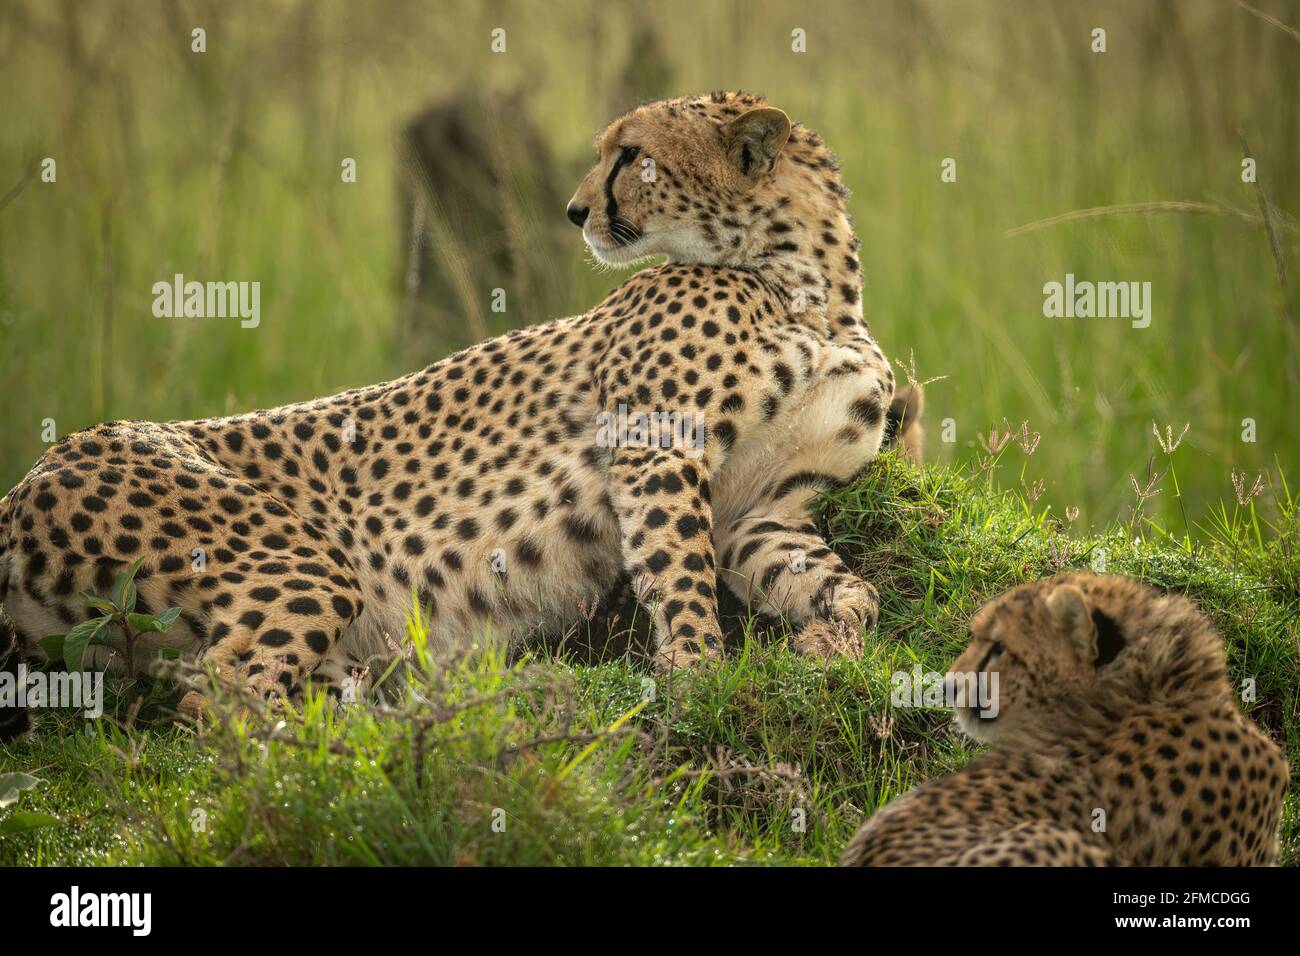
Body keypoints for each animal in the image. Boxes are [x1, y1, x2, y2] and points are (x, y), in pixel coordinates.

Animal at [0, 91, 918, 734]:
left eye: (633, 155)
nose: (575, 211)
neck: (811, 286)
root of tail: (35, 469)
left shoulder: (762, 509)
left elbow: (847, 587)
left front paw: (830, 641)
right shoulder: (656, 451)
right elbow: (681, 581)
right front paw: (698, 680)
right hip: (298, 563)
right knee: (218, 704)